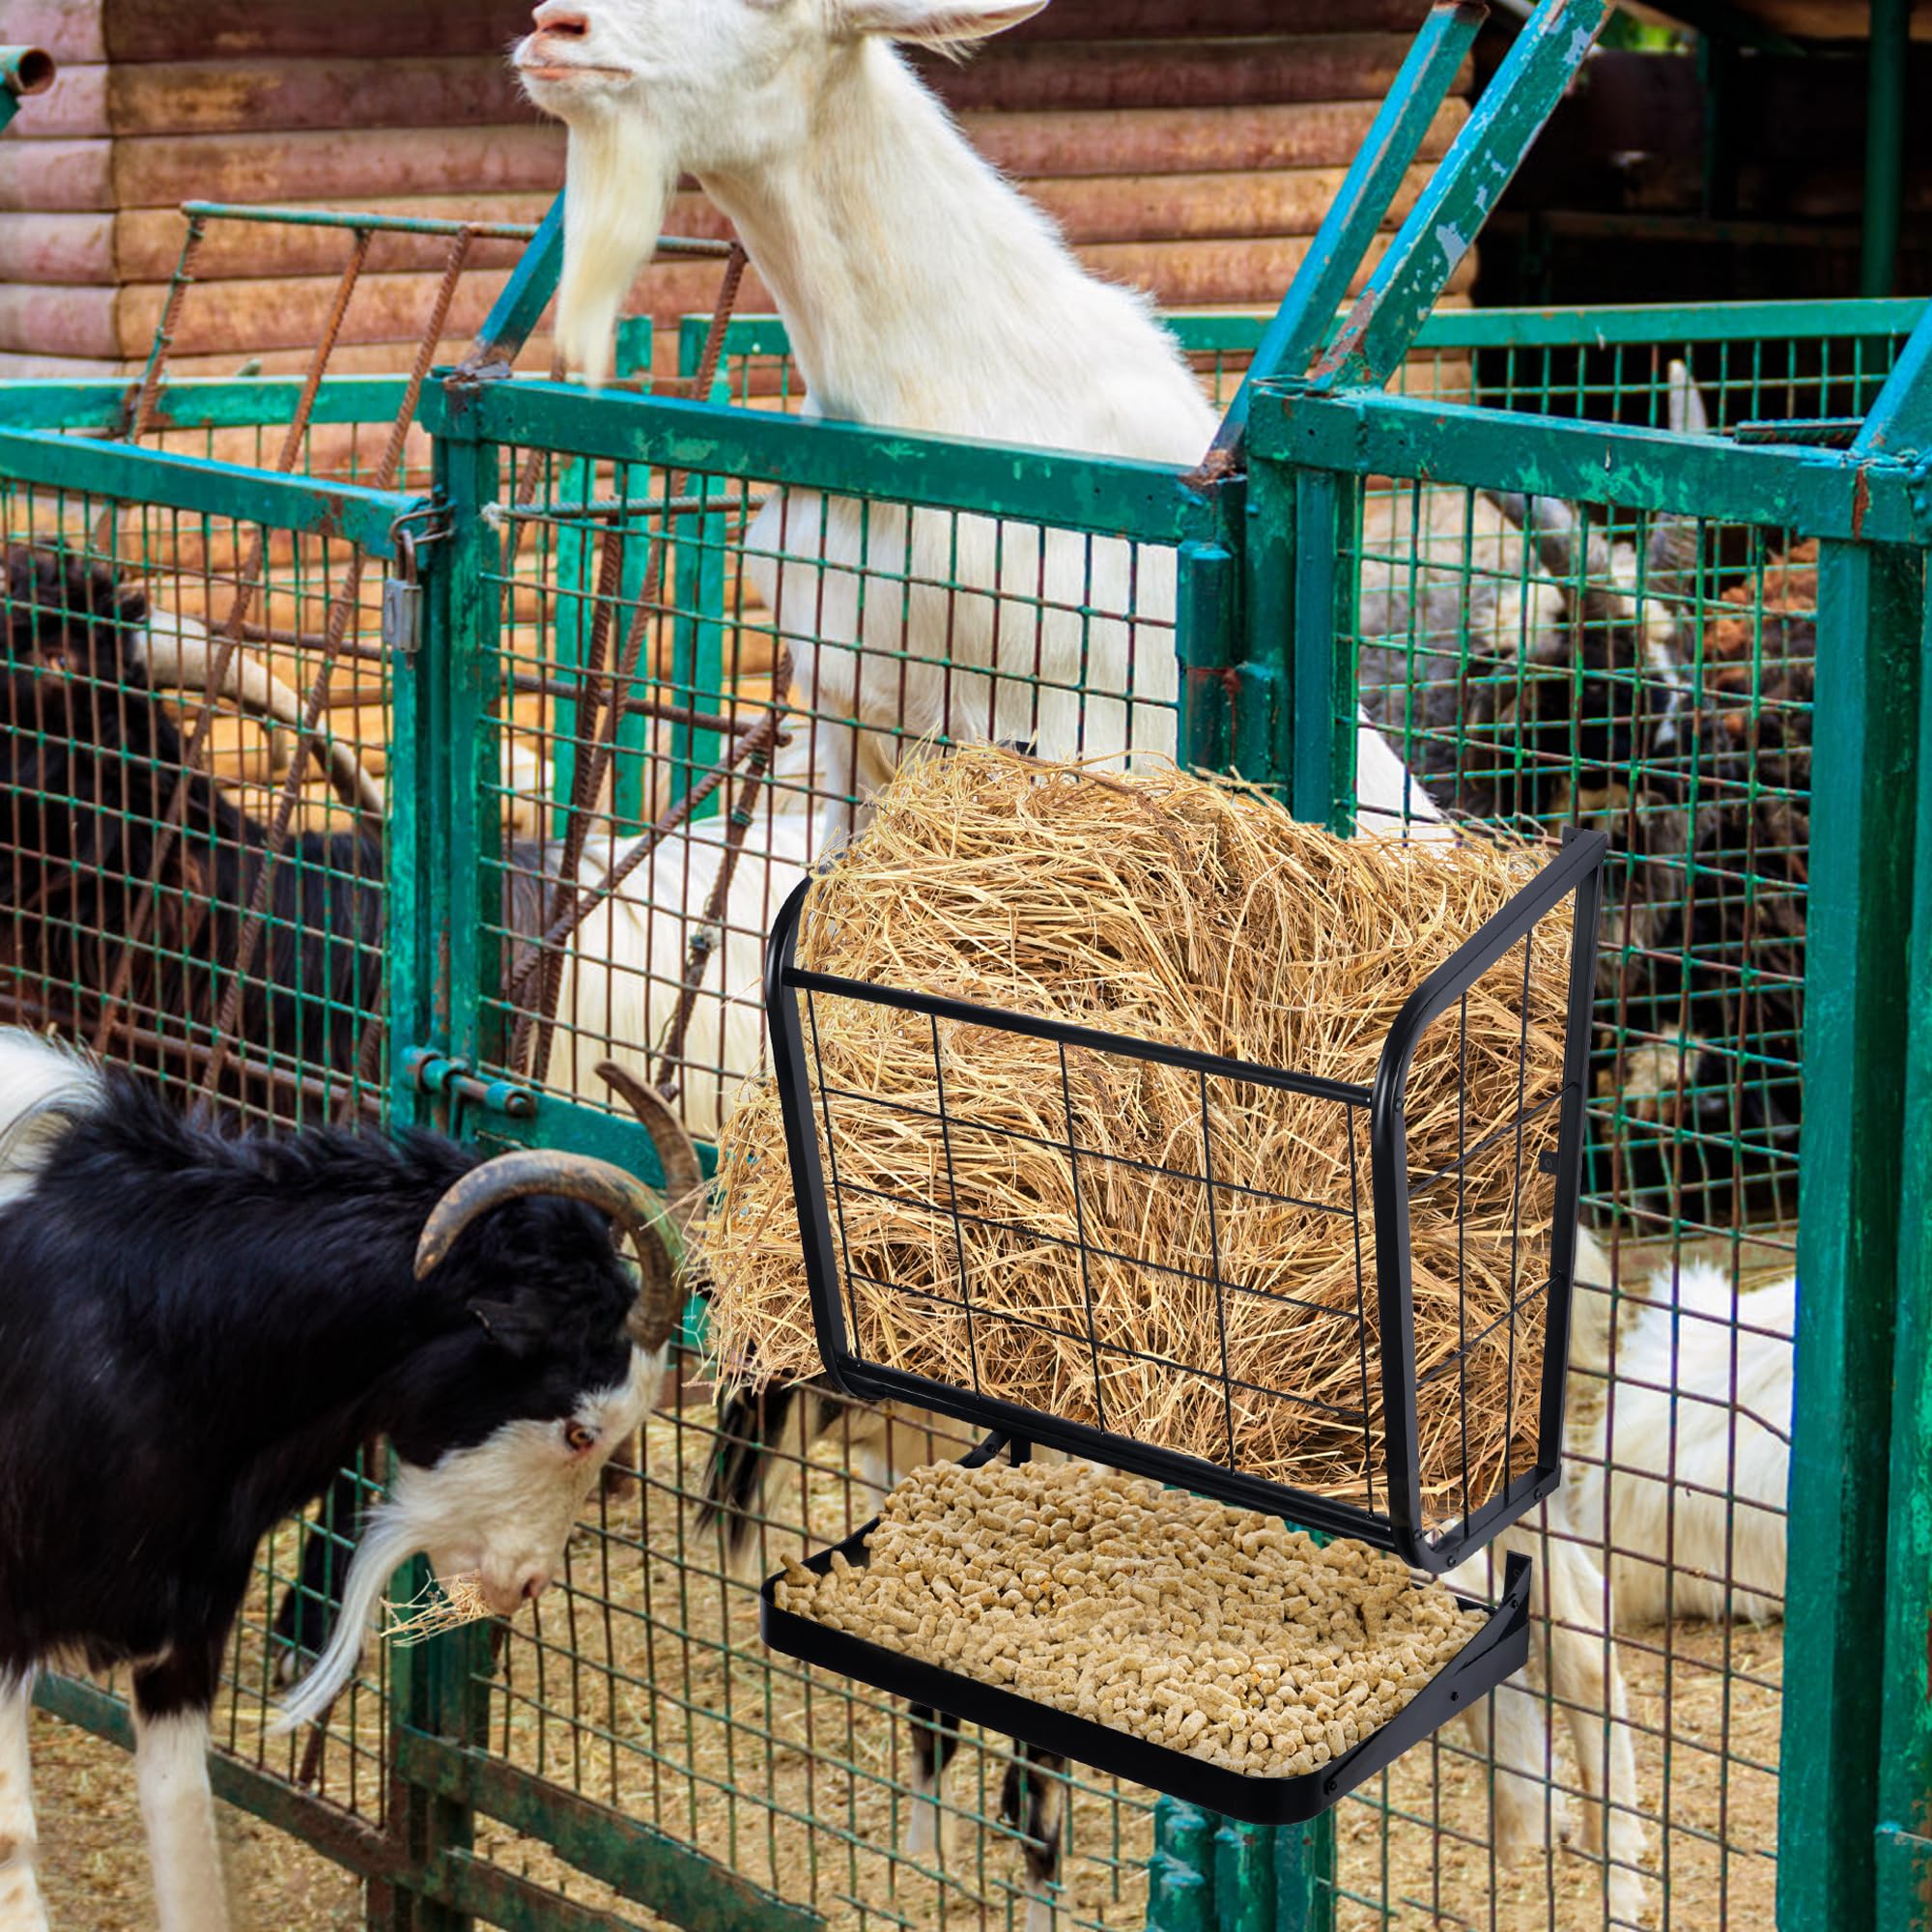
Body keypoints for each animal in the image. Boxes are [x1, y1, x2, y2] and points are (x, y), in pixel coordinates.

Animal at [0, 1026, 683, 1932]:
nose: (526, 1583)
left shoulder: (186, 1622)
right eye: (580, 1430)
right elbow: (13, 1838)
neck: (153, 1320)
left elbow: (185, 1824)